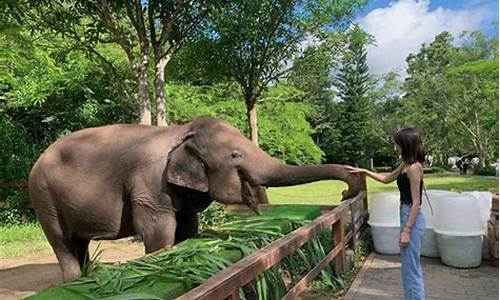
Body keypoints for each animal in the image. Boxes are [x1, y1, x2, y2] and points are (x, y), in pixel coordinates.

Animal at [28, 115, 364, 282]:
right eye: (235, 155)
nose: (346, 191)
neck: (180, 131)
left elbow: (188, 227)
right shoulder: (149, 184)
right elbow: (159, 232)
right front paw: (162, 262)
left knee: (80, 243)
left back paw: (86, 278)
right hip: (43, 198)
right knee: (62, 243)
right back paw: (74, 282)